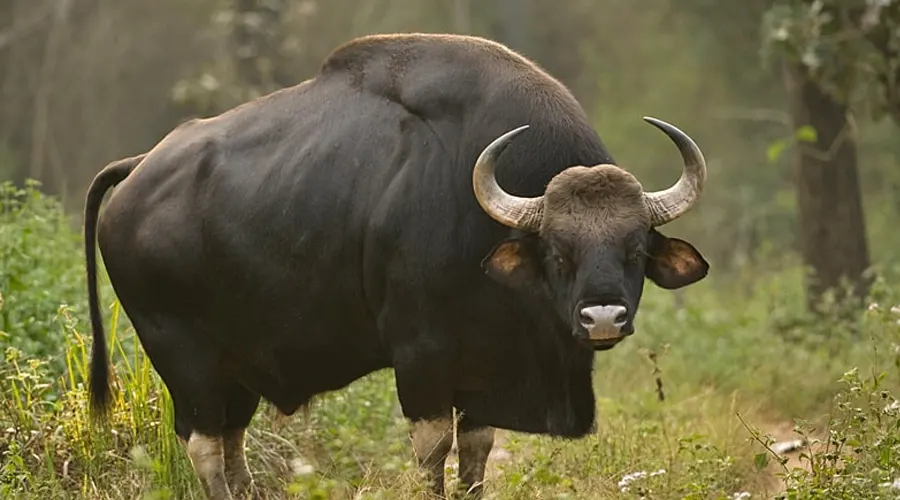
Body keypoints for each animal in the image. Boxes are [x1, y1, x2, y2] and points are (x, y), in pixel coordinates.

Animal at [84, 33, 709, 499]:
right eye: (558, 251)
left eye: (634, 248)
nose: (602, 318)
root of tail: (140, 166)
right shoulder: (421, 359)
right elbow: (433, 456)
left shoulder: (484, 374)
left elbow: (475, 458)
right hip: (184, 360)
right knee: (206, 447)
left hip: (234, 370)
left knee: (232, 444)